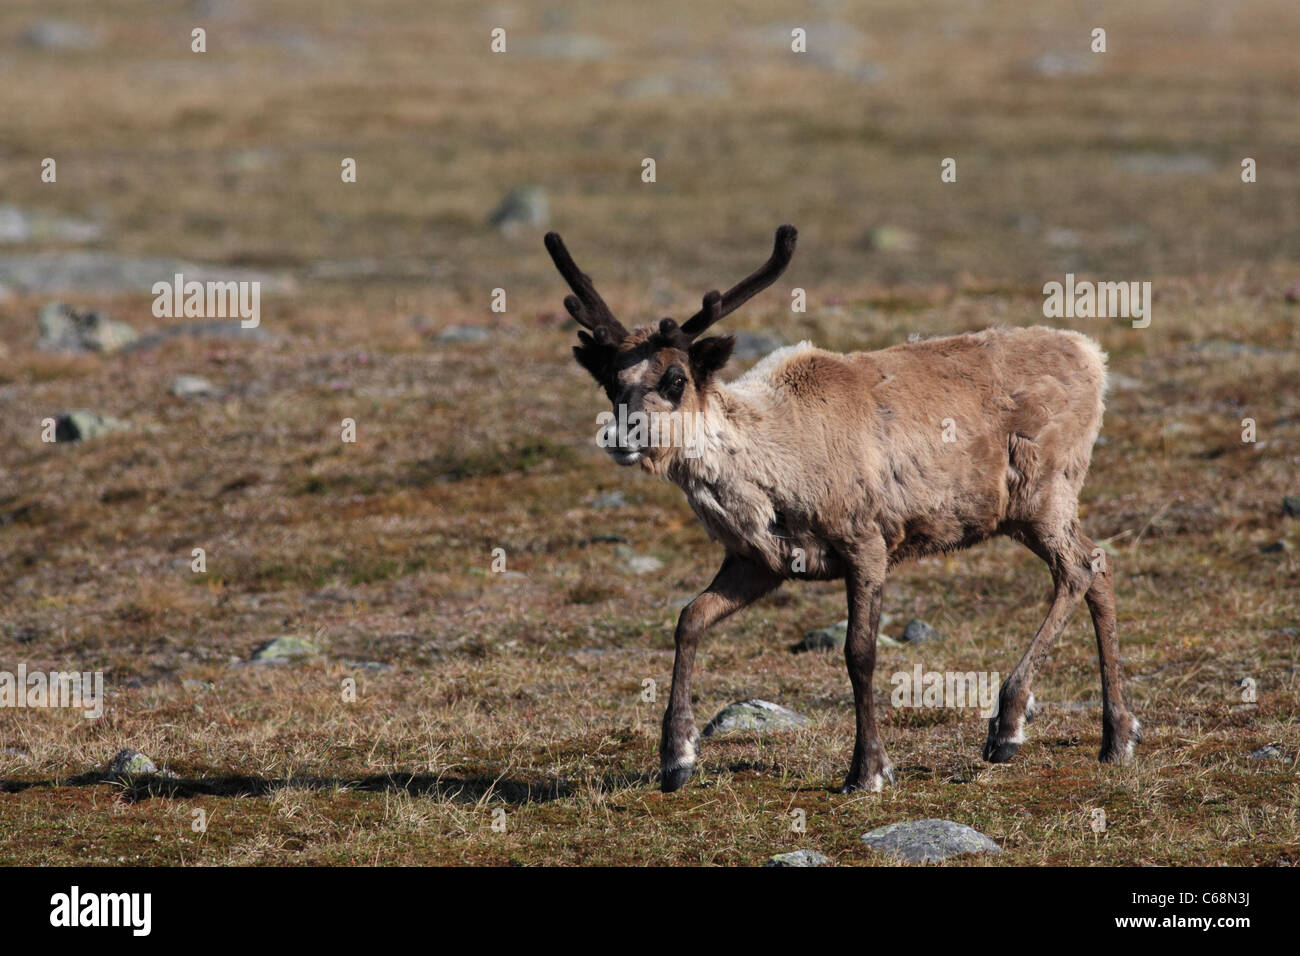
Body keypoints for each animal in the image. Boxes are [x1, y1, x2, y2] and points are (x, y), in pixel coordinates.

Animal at [544, 224, 1141, 793]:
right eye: (611, 382)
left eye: (675, 379)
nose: (620, 437)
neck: (773, 455)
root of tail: (1095, 357)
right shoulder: (758, 562)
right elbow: (689, 618)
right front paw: (676, 759)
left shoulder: (867, 541)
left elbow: (859, 652)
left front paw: (868, 769)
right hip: (1040, 510)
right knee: (1099, 565)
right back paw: (1116, 735)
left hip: (1042, 496)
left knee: (1077, 569)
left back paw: (1008, 728)